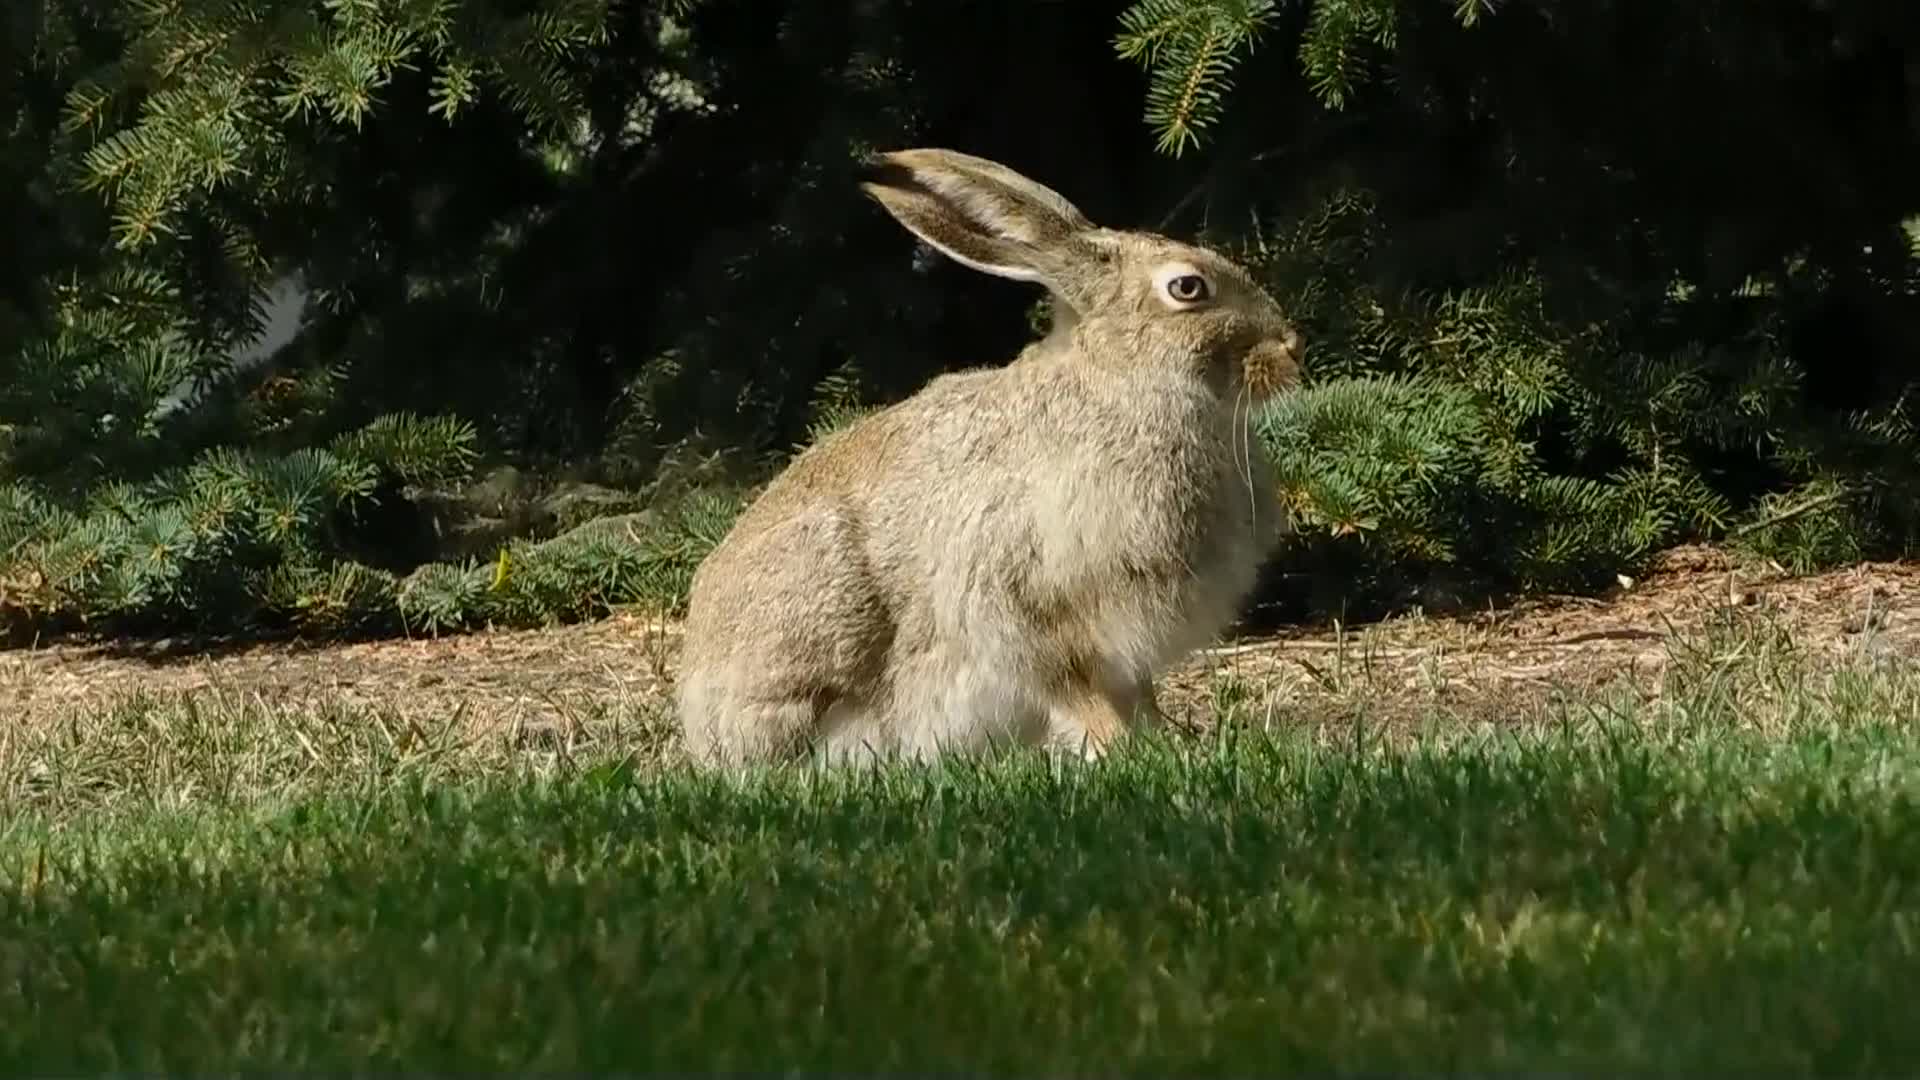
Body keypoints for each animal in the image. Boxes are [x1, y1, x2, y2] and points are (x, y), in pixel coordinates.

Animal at [674, 147, 1305, 766]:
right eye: (1188, 288)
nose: (1292, 346)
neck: (1126, 378)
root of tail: (699, 719)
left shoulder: (1126, 655)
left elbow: (1136, 698)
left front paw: (1161, 744)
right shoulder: (1021, 607)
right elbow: (1072, 692)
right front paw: (1122, 752)